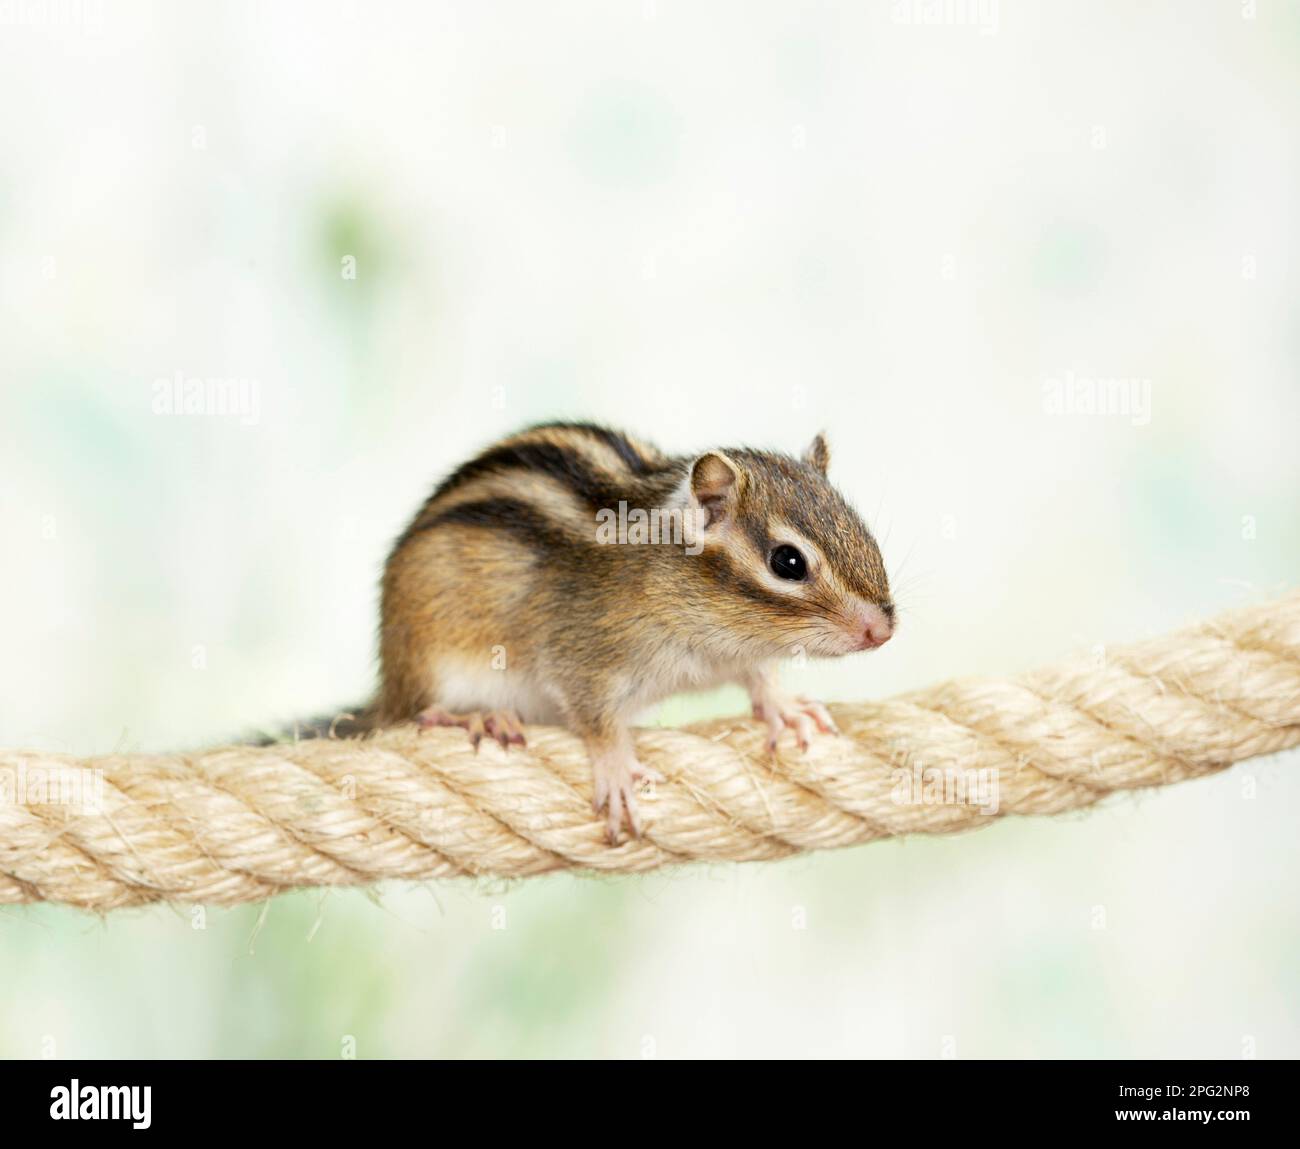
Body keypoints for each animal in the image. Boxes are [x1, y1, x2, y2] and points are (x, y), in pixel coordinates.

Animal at [281, 422, 894, 842]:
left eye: (860, 526)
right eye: (788, 562)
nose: (883, 629)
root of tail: (387, 687)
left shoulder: (737, 654)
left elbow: (760, 677)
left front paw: (785, 708)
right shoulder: (580, 653)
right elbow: (594, 716)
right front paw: (617, 768)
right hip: (435, 664)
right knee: (416, 713)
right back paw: (476, 716)